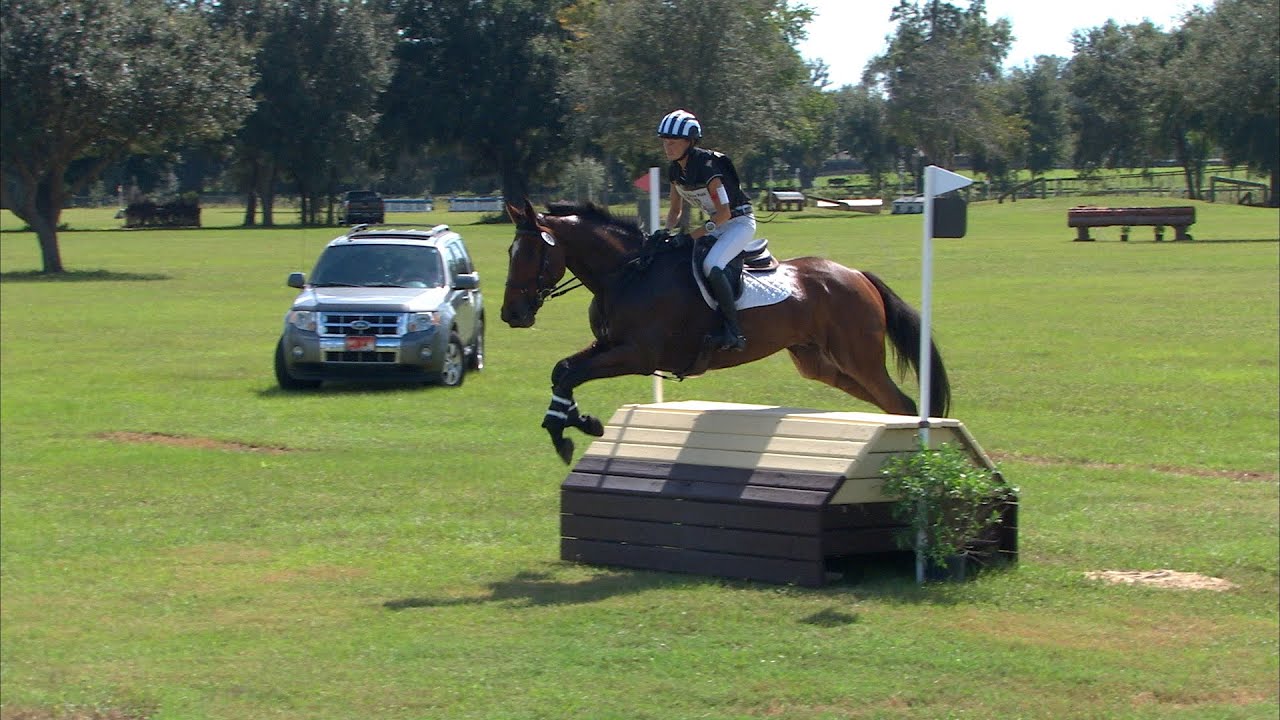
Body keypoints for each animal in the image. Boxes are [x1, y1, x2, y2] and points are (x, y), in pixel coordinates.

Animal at [502, 199, 951, 464]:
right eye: (510, 252)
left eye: (530, 253)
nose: (511, 314)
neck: (628, 274)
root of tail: (857, 274)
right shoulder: (608, 344)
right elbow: (563, 370)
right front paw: (574, 422)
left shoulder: (637, 354)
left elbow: (572, 373)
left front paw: (568, 431)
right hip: (821, 364)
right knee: (892, 404)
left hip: (859, 357)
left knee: (902, 403)